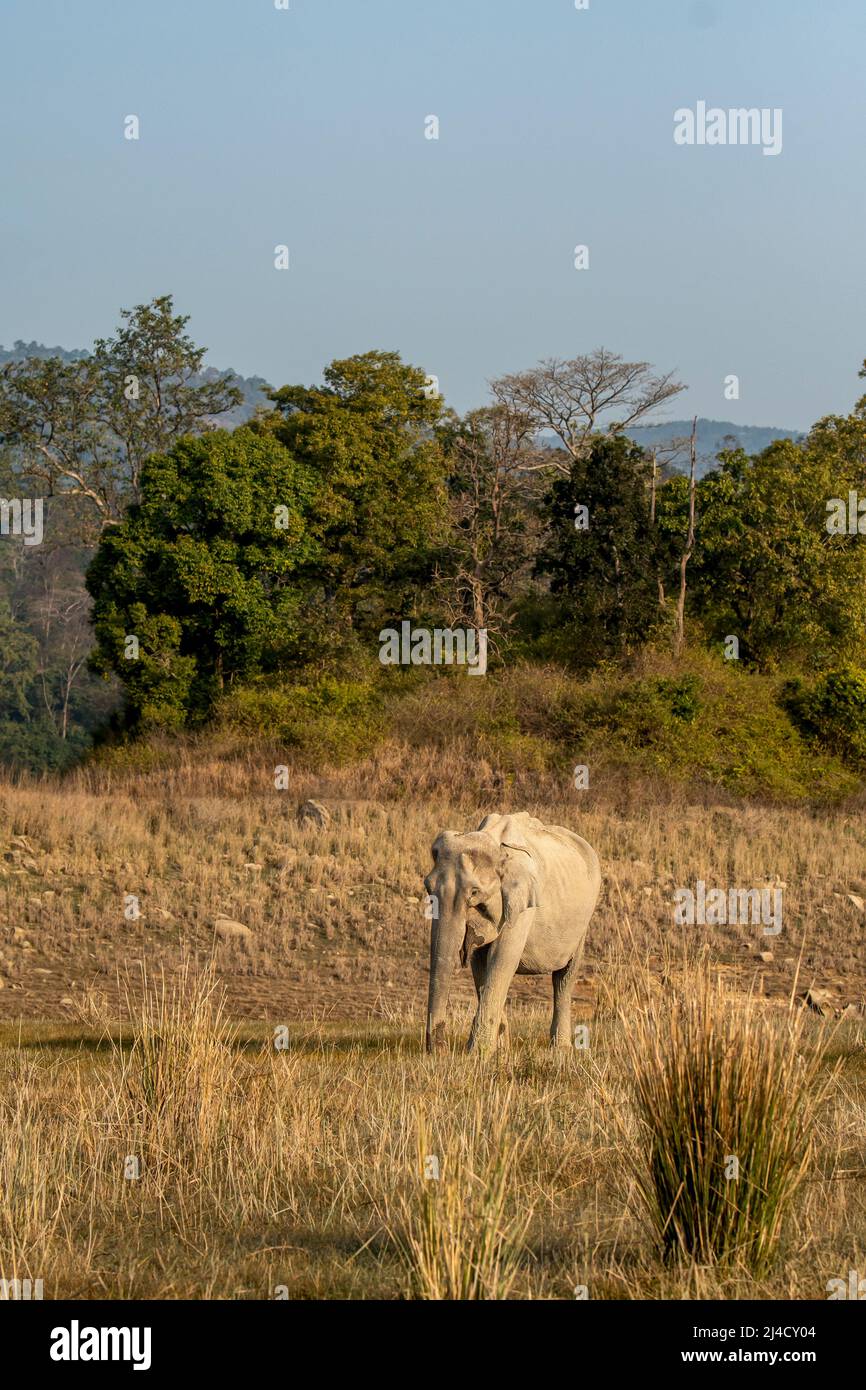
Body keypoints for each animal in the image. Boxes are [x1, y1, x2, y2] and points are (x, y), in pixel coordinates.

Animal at [423, 811, 601, 1053]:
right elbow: (481, 963)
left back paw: (561, 1050)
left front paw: (477, 1054)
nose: (441, 1050)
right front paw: (499, 1051)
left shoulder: (523, 904)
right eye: (428, 887)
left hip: (583, 923)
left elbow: (502, 959)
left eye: (474, 892)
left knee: (565, 977)